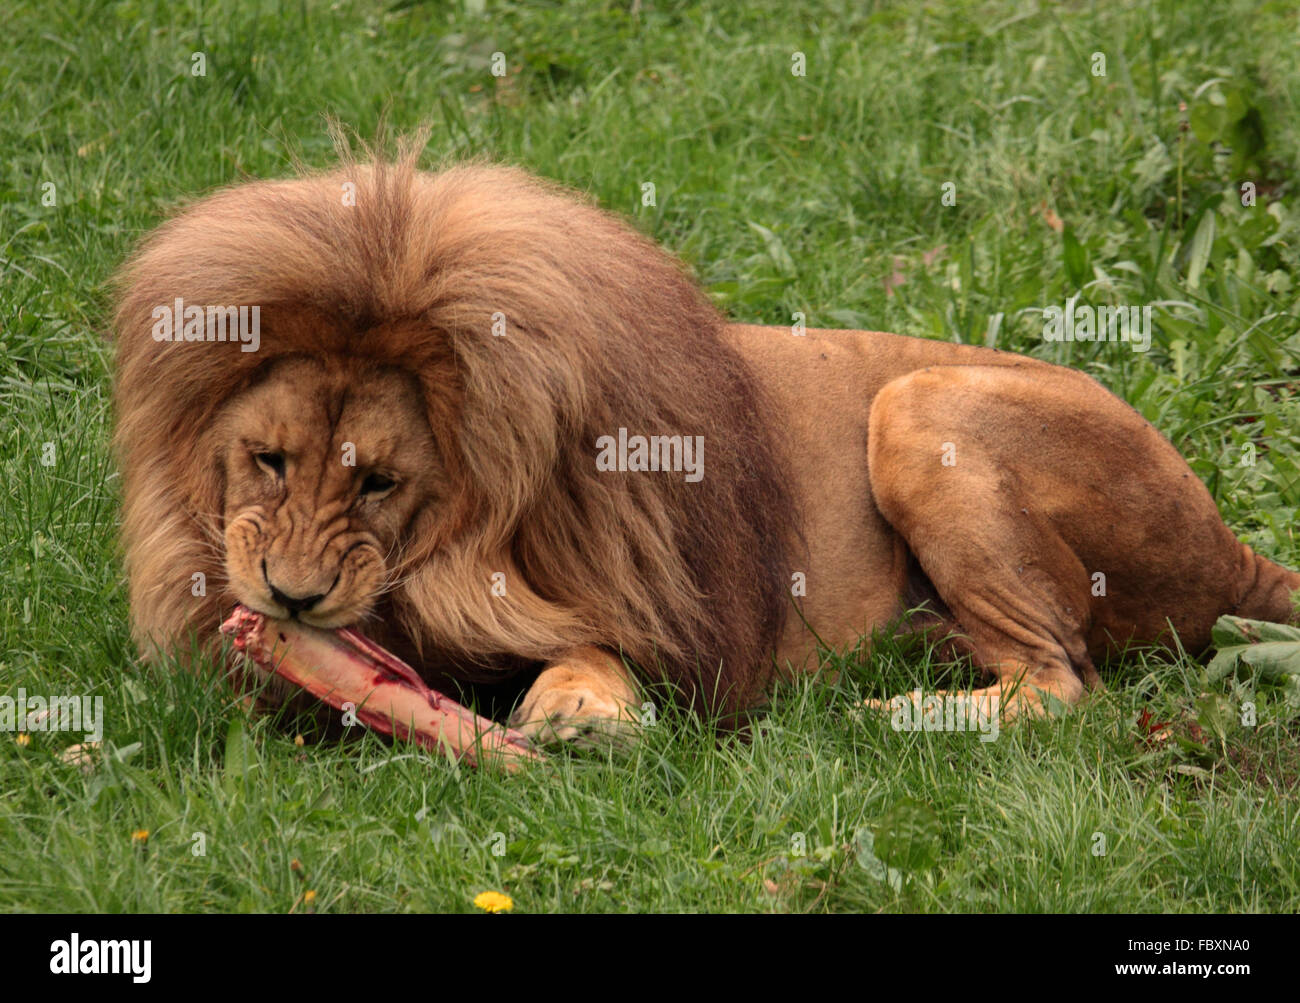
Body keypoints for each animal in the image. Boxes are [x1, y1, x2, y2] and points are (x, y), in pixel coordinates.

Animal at [112, 144, 1300, 744]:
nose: (294, 597)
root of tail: (1229, 544)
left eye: (381, 484)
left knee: (1060, 681)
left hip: (919, 405)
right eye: (267, 461)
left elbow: (596, 641)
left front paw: (581, 707)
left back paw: (885, 711)